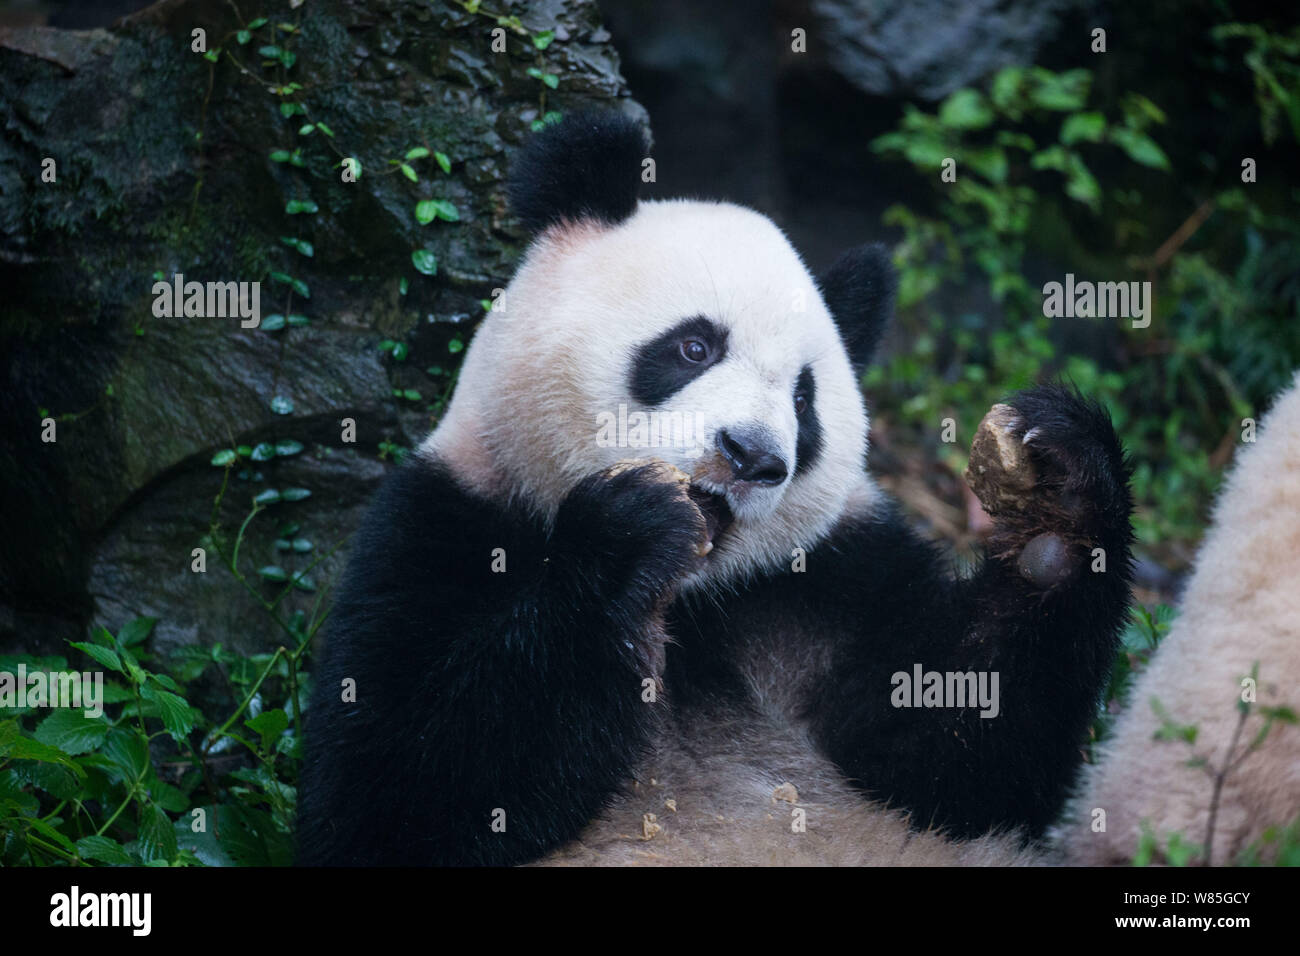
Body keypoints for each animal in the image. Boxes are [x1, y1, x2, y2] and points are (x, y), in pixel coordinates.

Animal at [296, 111, 1135, 866]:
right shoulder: (447, 520)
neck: (689, 599)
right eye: (694, 346)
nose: (751, 454)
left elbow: (958, 759)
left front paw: (1061, 497)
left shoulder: (823, 581)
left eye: (803, 399)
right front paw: (626, 539)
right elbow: (392, 797)